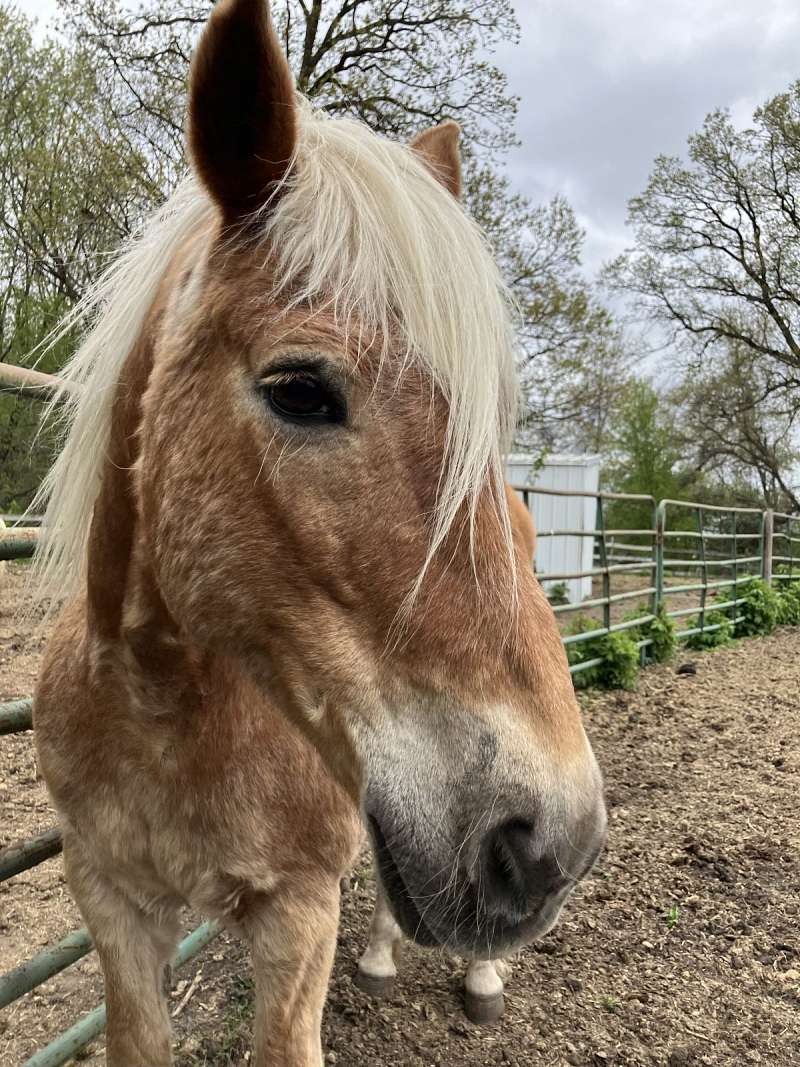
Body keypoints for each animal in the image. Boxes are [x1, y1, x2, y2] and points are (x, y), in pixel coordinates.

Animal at [32, 1, 606, 1064]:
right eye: (301, 389)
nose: (552, 844)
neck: (166, 715)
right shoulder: (113, 905)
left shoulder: (297, 914)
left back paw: (471, 975)